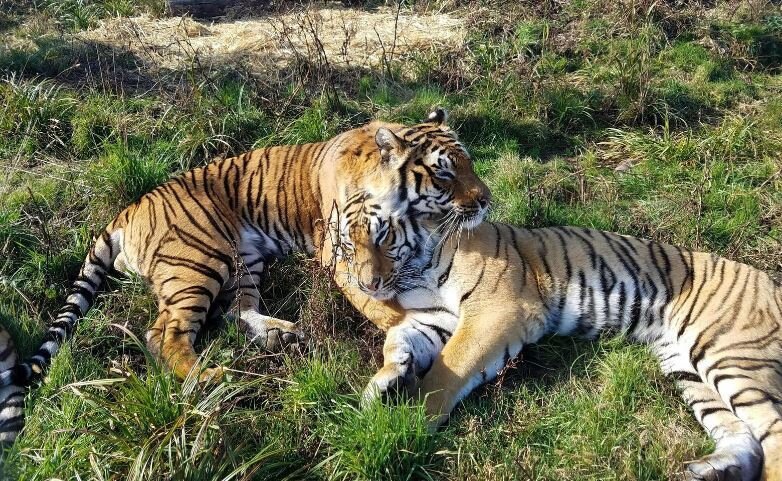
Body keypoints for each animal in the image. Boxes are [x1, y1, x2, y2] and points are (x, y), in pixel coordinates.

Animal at [0, 108, 491, 443]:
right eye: (444, 175)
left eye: (470, 164)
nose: (486, 200)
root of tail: (130, 207)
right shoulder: (341, 254)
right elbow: (379, 302)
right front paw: (410, 330)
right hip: (200, 260)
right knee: (165, 333)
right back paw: (212, 377)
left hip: (244, 260)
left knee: (237, 313)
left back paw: (282, 335)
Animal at [335, 208, 782, 481]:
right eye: (347, 244)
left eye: (381, 236)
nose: (366, 284)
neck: (421, 266)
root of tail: (772, 282)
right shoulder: (434, 319)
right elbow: (399, 341)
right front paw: (383, 385)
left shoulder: (499, 308)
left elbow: (449, 368)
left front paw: (411, 421)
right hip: (686, 366)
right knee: (744, 437)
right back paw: (713, 469)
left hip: (731, 354)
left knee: (772, 433)